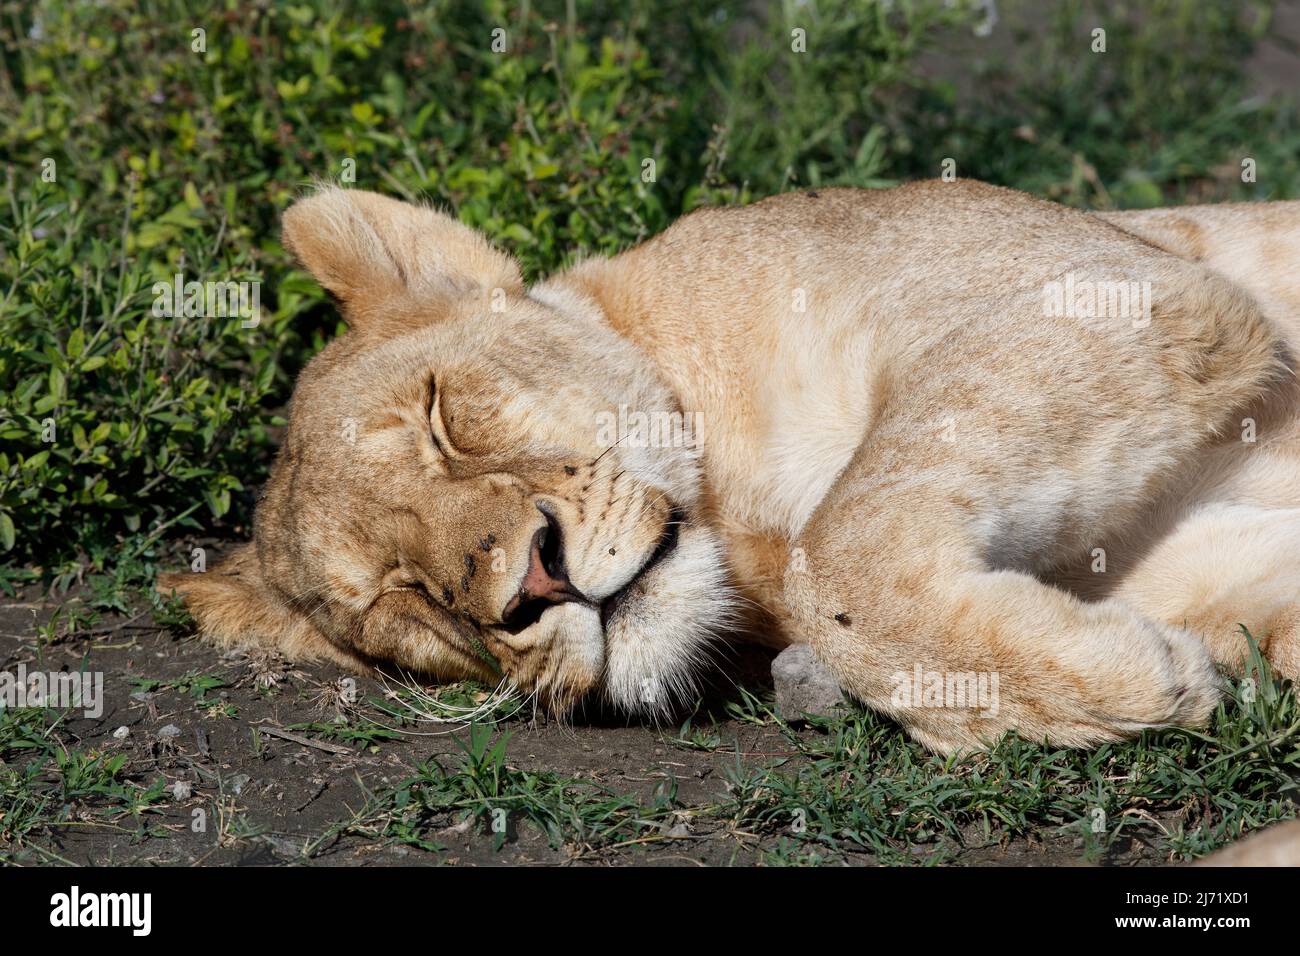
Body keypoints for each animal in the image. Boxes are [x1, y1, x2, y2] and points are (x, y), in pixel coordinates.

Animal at [161, 180, 1300, 753]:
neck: (741, 517)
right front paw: (1123, 679)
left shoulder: (1131, 291)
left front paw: (1126, 689)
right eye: (401, 602)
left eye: (442, 418)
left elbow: (838, 545)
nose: (534, 582)